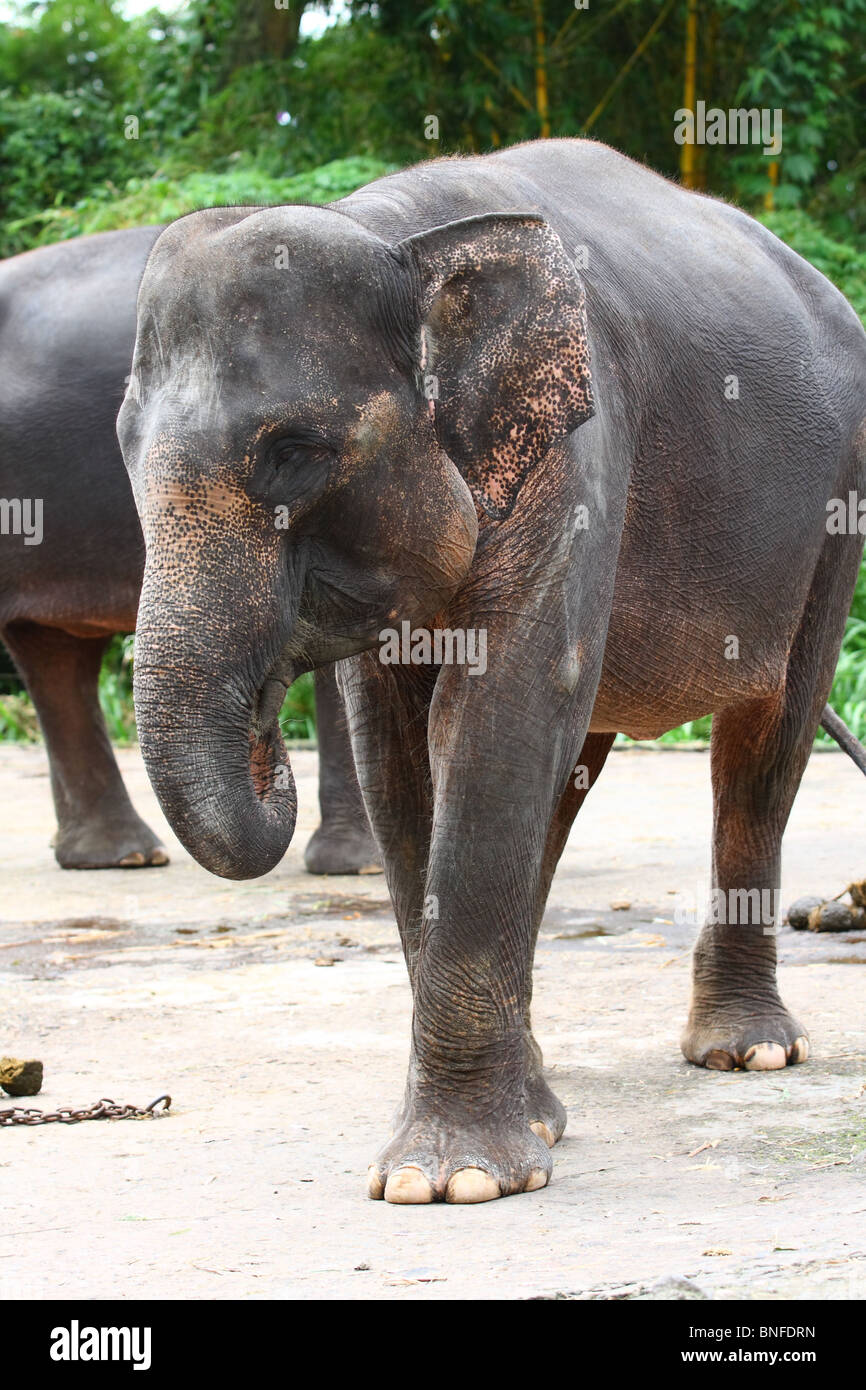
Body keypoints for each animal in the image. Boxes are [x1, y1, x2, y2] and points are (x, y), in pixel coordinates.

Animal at [117, 138, 866, 1204]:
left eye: (296, 452)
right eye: (122, 449)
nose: (268, 737)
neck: (401, 235)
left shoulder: (584, 451)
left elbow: (498, 712)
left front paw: (451, 1181)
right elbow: (400, 760)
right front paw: (490, 1153)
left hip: (836, 506)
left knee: (765, 745)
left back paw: (747, 1053)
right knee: (569, 777)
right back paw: (550, 1102)